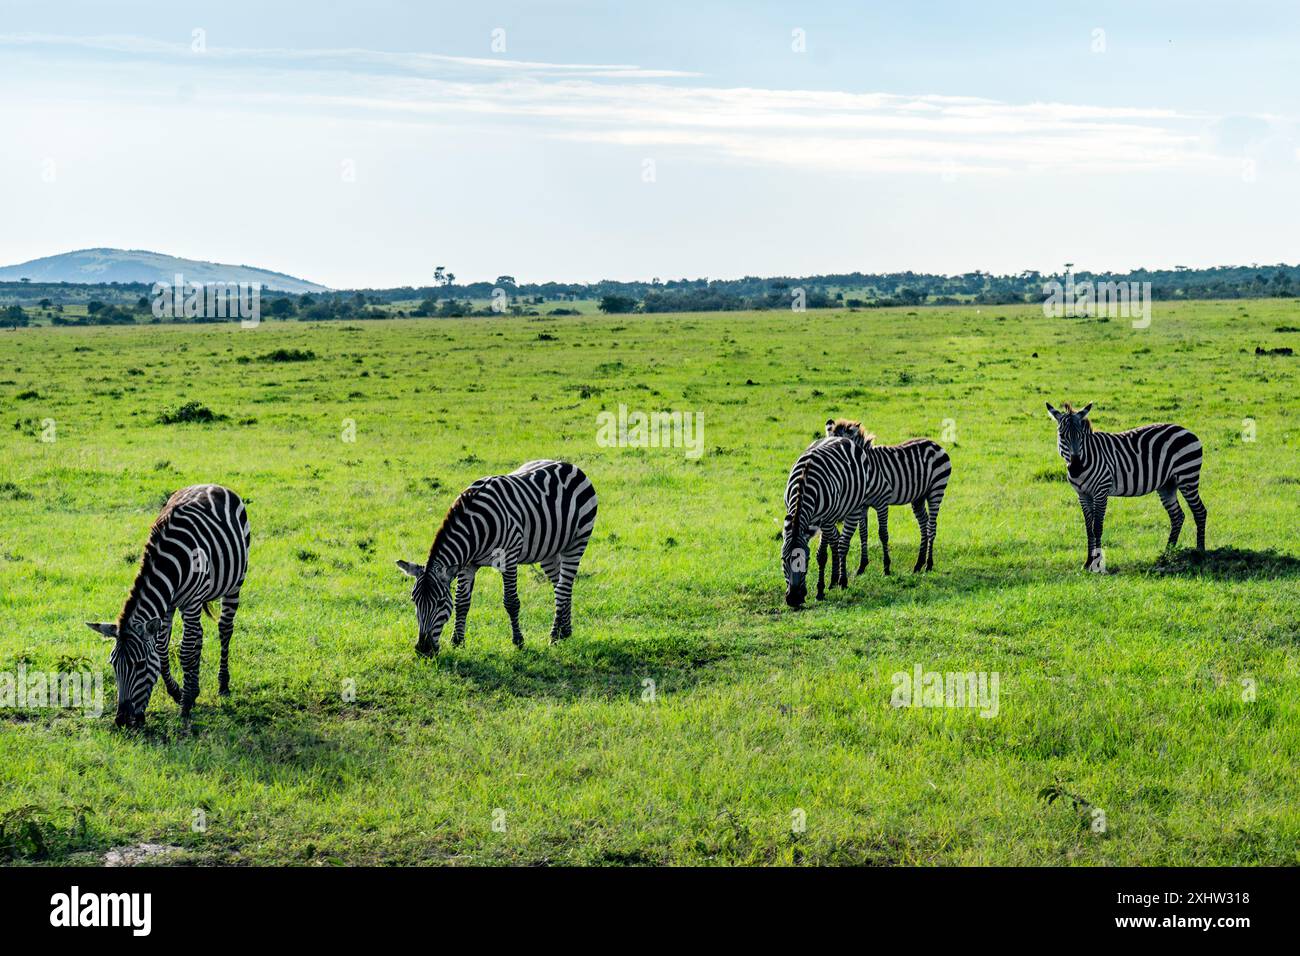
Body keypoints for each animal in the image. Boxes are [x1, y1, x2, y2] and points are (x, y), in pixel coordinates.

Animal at [85, 484, 250, 727]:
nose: (122, 720)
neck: (169, 564)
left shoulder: (191, 602)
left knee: (224, 629)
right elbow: (163, 649)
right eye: (113, 664)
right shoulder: (167, 604)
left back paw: (223, 684)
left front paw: (185, 704)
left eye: (140, 665)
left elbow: (185, 651)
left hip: (235, 583)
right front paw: (178, 692)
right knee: (198, 635)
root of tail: (212, 484)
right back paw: (195, 687)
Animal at [396, 460, 597, 653]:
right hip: (549, 550)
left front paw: (518, 641)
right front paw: (457, 642)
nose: (423, 649)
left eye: (440, 603)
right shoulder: (468, 564)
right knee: (560, 586)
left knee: (563, 587)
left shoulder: (508, 558)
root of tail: (568, 464)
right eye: (414, 601)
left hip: (577, 541)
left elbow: (511, 601)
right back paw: (565, 631)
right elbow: (462, 601)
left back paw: (555, 636)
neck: (475, 528)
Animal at [782, 436, 873, 607]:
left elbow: (823, 555)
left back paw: (842, 580)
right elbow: (826, 549)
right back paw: (833, 580)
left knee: (842, 544)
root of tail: (842, 437)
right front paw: (824, 586)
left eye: (806, 560)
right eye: (784, 560)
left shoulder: (826, 520)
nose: (794, 599)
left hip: (854, 508)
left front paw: (820, 590)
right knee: (835, 541)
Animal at [825, 418, 952, 575]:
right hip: (919, 497)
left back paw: (928, 564)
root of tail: (934, 443)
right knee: (924, 525)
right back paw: (918, 564)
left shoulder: (882, 503)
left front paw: (886, 567)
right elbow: (863, 533)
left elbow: (883, 534)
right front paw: (862, 567)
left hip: (936, 490)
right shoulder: (862, 506)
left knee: (931, 527)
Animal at [1046, 402, 1206, 571]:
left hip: (1188, 477)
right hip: (1167, 485)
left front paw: (1097, 563)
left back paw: (1199, 552)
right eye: (1062, 436)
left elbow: (1097, 527)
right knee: (1177, 516)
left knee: (1199, 511)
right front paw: (1088, 562)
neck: (1088, 457)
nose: (1076, 467)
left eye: (1081, 436)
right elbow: (1089, 529)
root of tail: (1186, 430)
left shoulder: (1101, 491)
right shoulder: (1082, 495)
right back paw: (1166, 555)